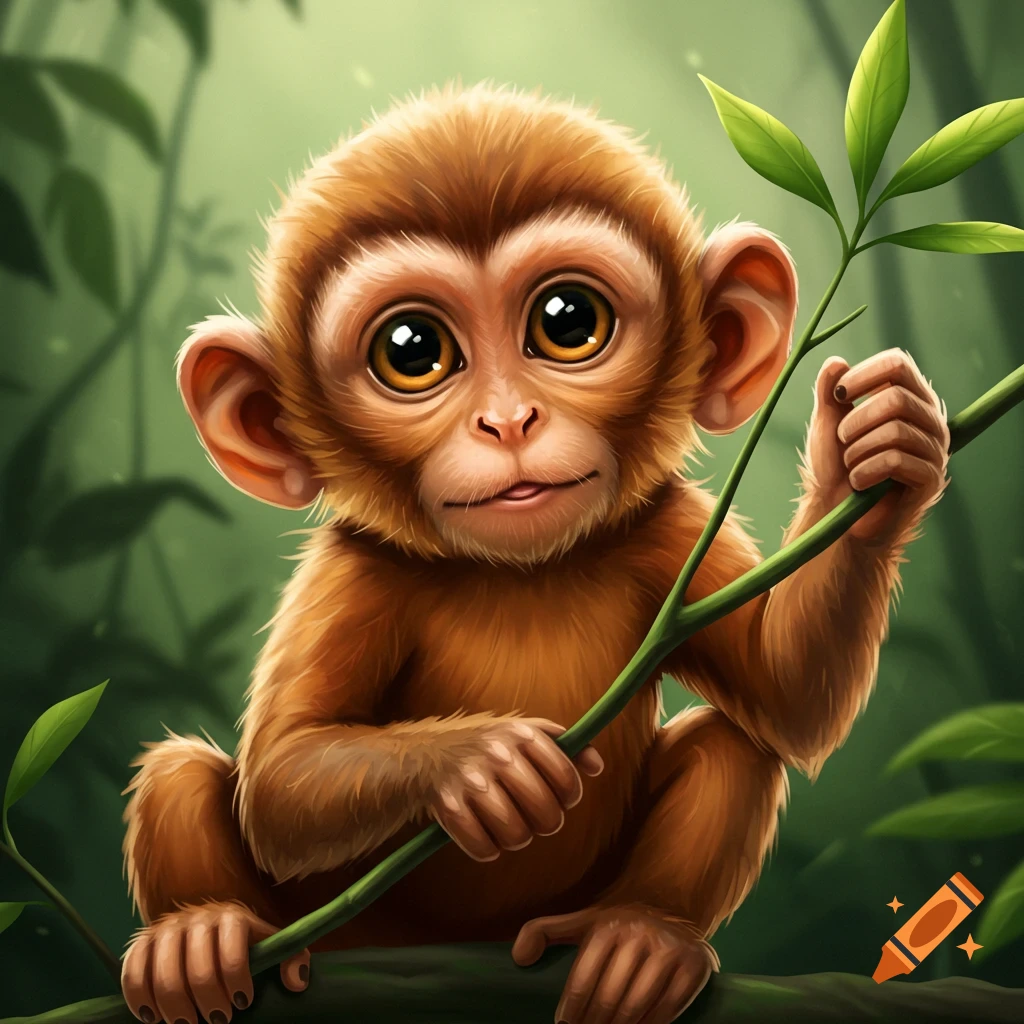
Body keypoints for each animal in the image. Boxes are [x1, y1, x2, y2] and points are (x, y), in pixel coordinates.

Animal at [119, 84, 949, 1024]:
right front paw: (478, 763)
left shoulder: (665, 526)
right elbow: (279, 784)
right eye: (411, 350)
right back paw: (197, 938)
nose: (509, 420)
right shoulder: (354, 572)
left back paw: (642, 938)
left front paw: (872, 447)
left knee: (733, 744)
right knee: (183, 769)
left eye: (569, 322)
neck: (519, 576)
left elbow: (789, 698)